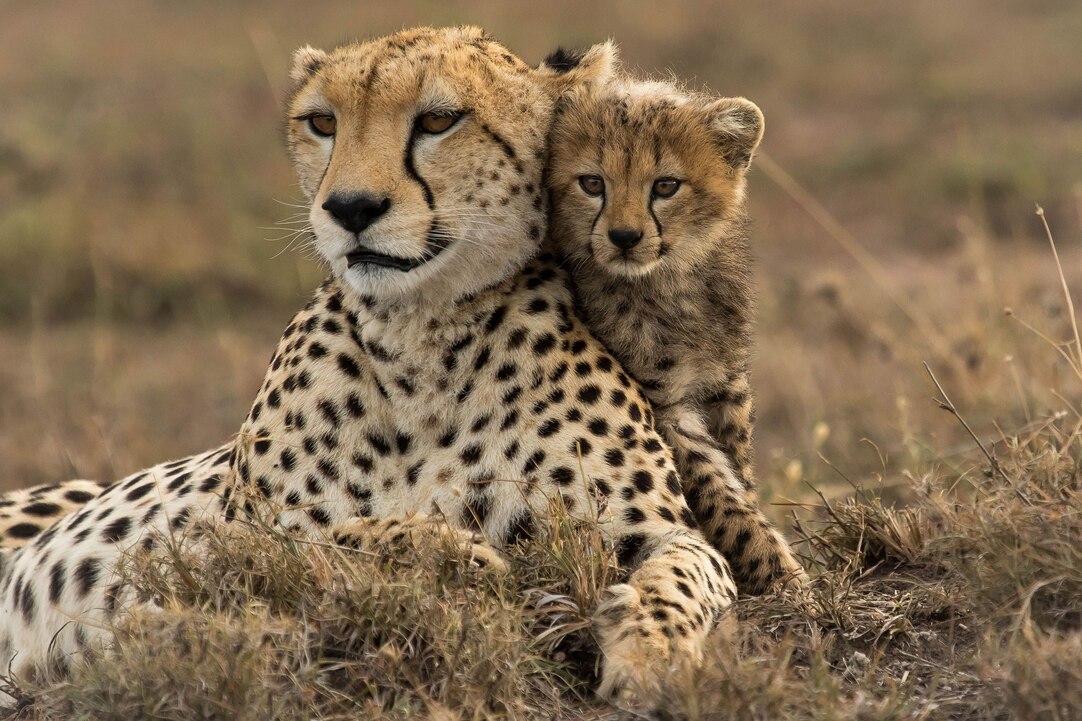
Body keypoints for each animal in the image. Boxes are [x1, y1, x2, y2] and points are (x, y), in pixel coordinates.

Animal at [0, 27, 753, 709]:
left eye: (439, 120)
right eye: (322, 122)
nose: (350, 208)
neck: (424, 338)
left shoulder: (658, 531)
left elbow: (686, 574)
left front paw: (651, 651)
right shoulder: (209, 552)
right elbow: (303, 538)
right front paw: (447, 550)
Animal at [547, 76, 805, 594]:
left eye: (665, 185)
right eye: (592, 183)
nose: (624, 237)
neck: (666, 283)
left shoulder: (726, 384)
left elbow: (739, 472)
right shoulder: (663, 407)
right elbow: (716, 490)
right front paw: (778, 570)